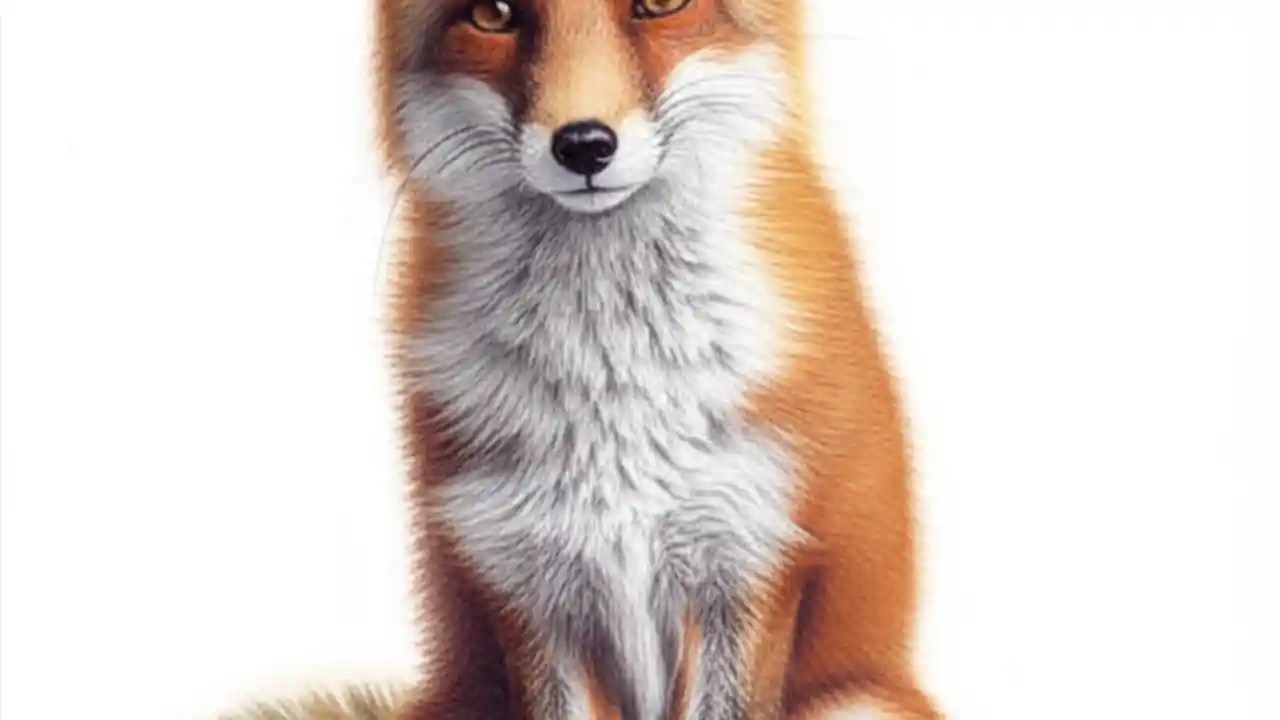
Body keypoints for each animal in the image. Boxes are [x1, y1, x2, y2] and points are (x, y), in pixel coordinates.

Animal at [228, 1, 941, 718]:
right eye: (494, 15)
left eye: (660, 6)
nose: (584, 147)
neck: (611, 384)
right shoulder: (526, 579)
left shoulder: (744, 557)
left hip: (849, 701)